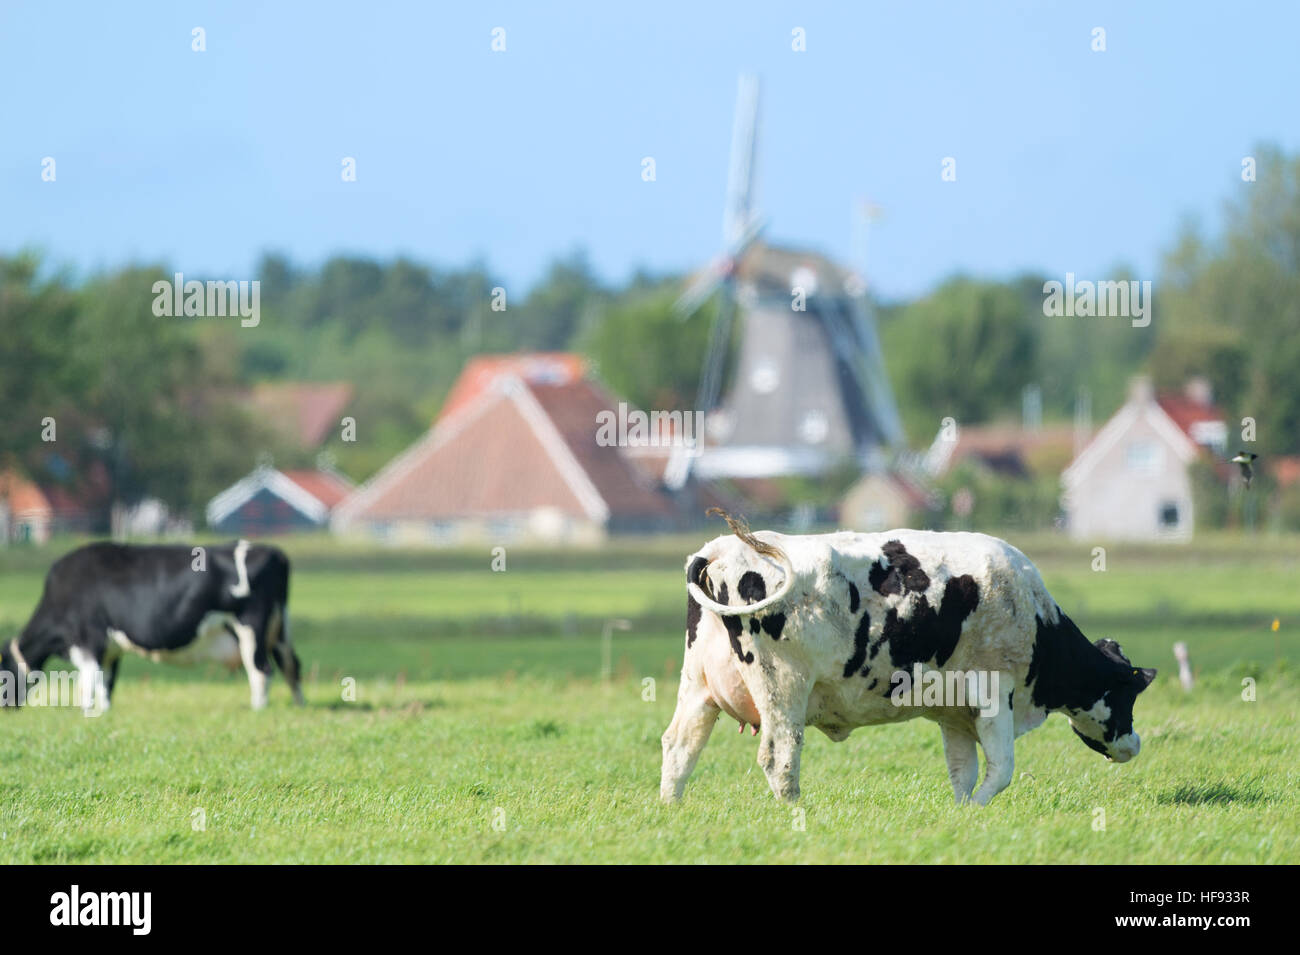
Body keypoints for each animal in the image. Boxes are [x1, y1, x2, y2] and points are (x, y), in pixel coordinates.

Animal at [0, 540, 303, 714]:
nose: (5, 708)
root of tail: (272, 551)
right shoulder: (110, 649)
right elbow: (106, 684)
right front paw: (103, 713)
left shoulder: (88, 641)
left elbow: (88, 684)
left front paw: (87, 714)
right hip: (280, 631)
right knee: (291, 666)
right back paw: (299, 705)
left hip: (251, 628)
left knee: (261, 671)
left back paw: (257, 709)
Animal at [661, 513, 1157, 806]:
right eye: (1130, 694)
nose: (1135, 745)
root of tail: (721, 549)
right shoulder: (996, 690)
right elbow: (1001, 769)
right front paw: (980, 809)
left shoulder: (955, 713)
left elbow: (962, 771)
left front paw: (962, 813)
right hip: (783, 688)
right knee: (778, 756)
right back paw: (796, 812)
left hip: (698, 686)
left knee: (679, 746)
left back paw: (671, 808)